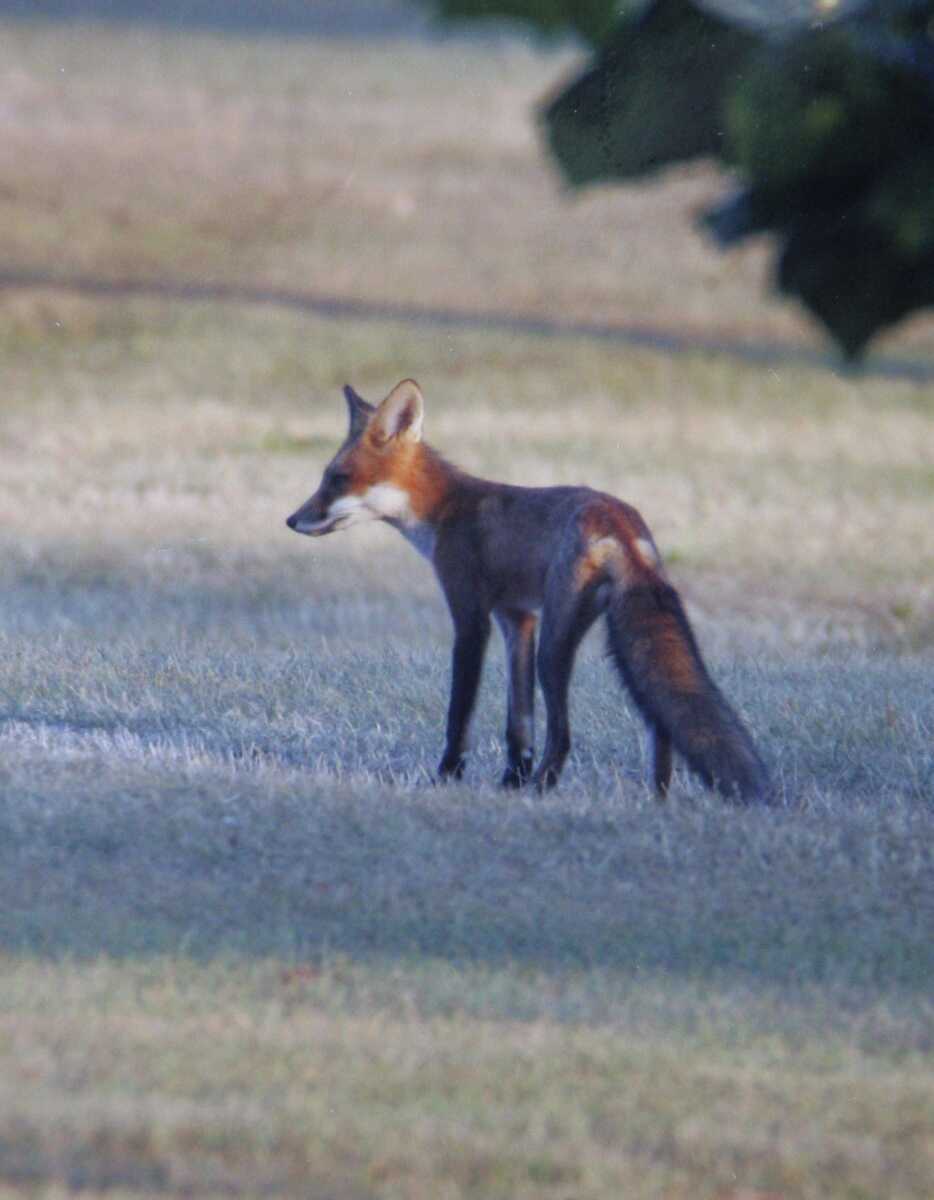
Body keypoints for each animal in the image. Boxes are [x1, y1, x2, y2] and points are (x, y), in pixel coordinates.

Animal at [286, 379, 770, 802]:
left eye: (337, 478)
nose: (291, 520)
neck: (445, 512)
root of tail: (621, 520)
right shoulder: (516, 618)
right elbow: (518, 723)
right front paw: (510, 783)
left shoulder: (471, 617)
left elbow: (460, 714)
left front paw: (448, 777)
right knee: (657, 721)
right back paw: (656, 799)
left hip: (554, 647)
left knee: (564, 733)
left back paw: (544, 788)